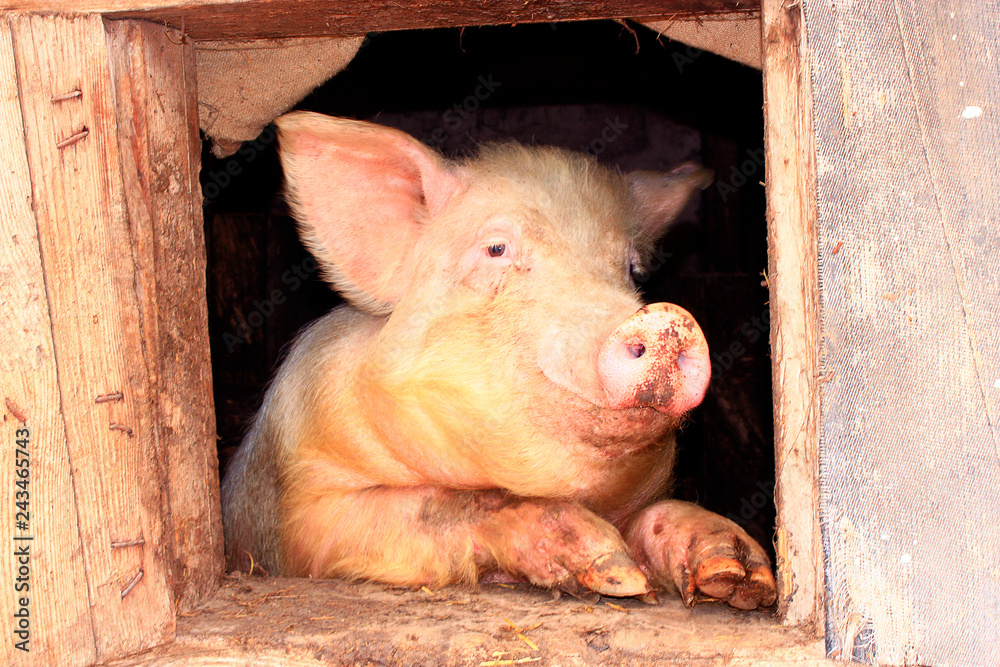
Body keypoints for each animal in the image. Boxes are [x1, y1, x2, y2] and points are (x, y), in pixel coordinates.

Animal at [221, 111, 777, 611]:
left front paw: (741, 575)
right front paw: (611, 569)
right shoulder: (304, 516)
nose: (665, 320)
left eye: (632, 268)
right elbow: (437, 503)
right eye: (495, 249)